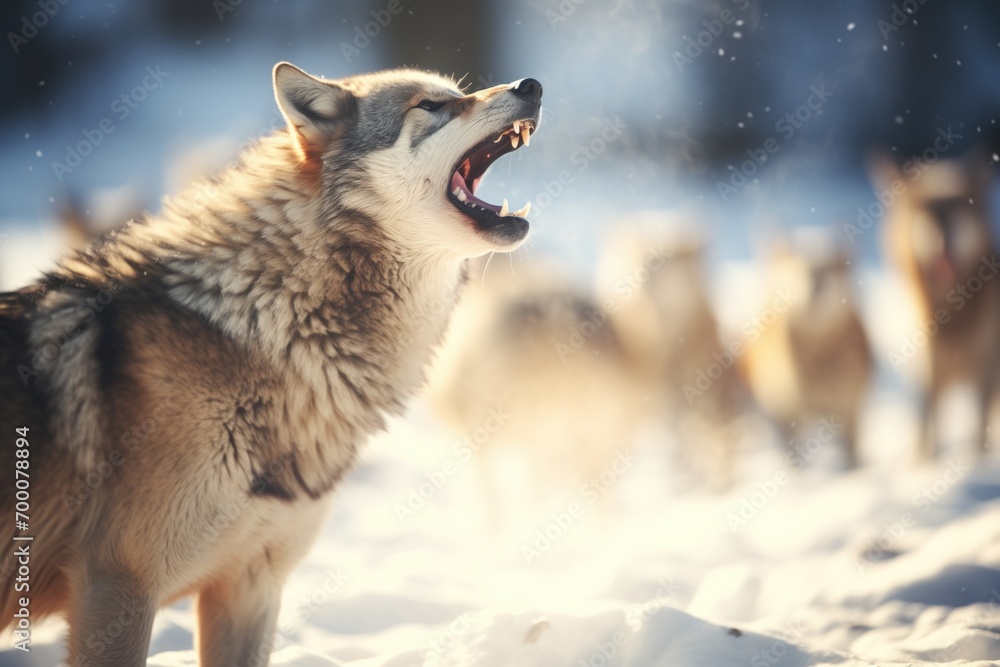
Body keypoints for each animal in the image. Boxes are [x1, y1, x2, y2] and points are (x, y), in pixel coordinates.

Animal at [0, 62, 542, 666]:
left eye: (456, 93)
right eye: (431, 106)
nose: (531, 86)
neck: (272, 325)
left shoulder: (250, 587)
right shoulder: (116, 587)